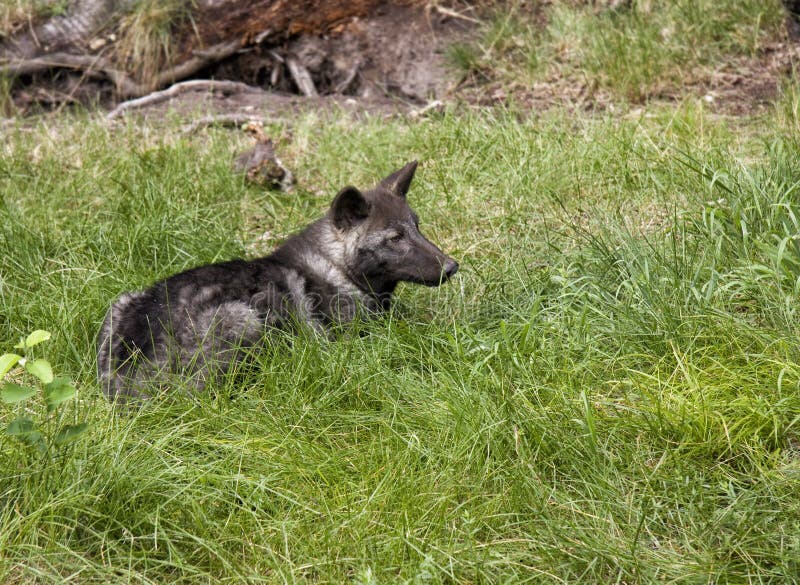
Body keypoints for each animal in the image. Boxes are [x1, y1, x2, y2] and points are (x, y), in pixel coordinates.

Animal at [97, 161, 458, 401]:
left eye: (417, 227)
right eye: (395, 238)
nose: (452, 267)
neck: (334, 265)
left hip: (120, 304)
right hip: (242, 318)